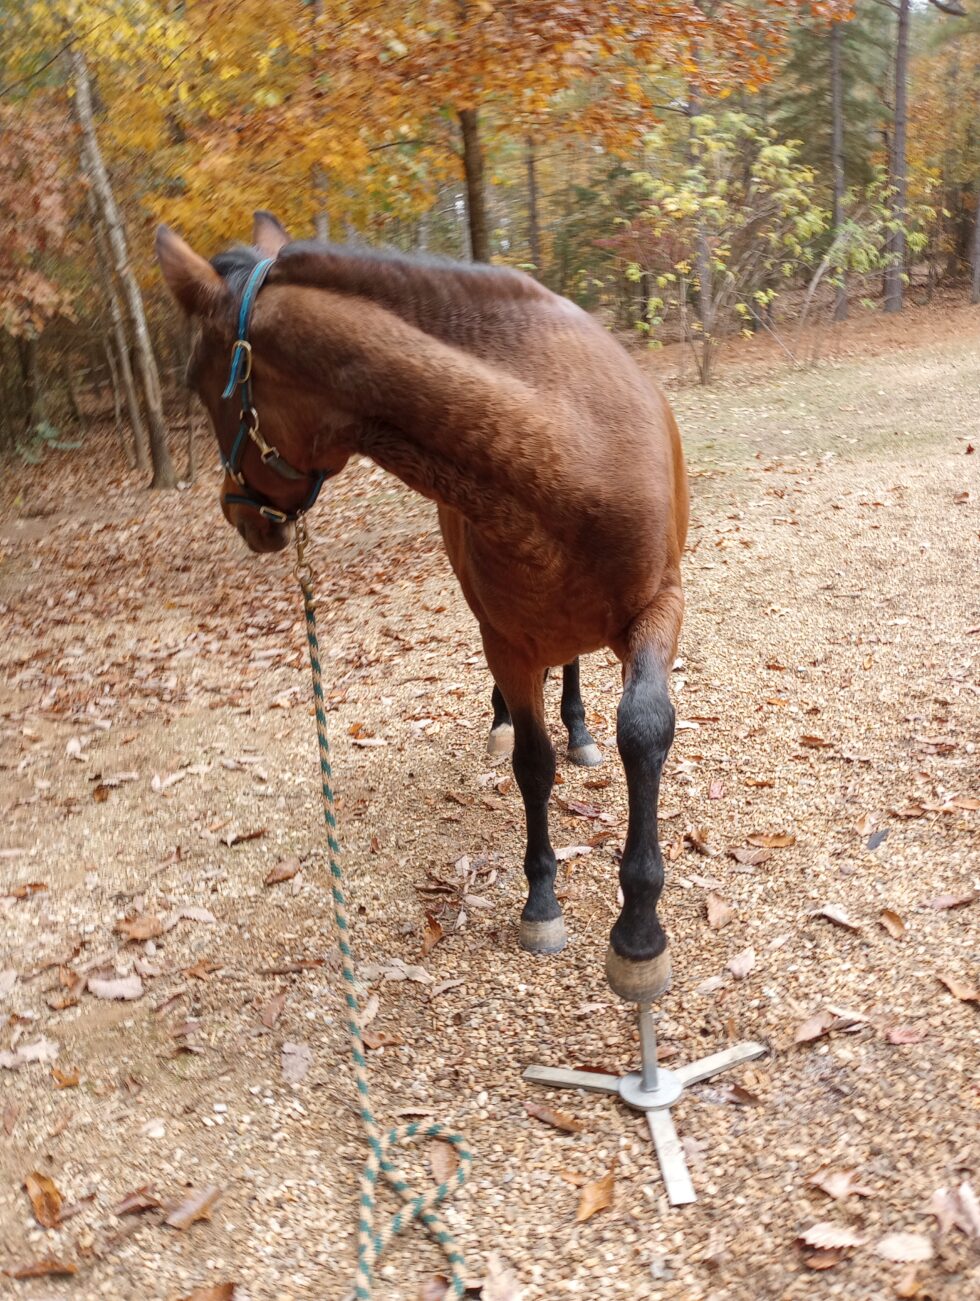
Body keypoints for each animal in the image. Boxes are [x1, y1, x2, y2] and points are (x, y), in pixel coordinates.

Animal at [156, 212, 688, 1005]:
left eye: (199, 380)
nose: (238, 515)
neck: (569, 451)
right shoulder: (507, 639)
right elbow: (532, 764)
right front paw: (542, 902)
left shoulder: (661, 605)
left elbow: (645, 728)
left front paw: (640, 931)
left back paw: (579, 727)